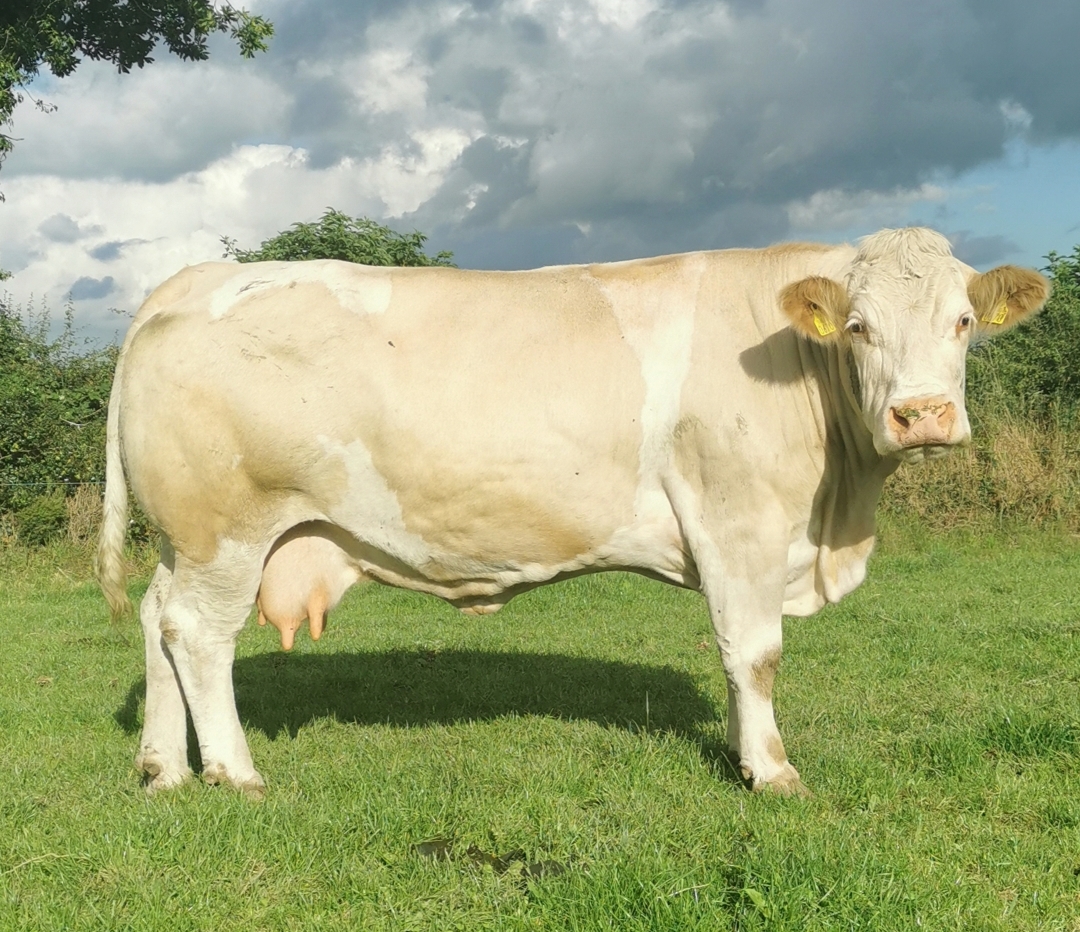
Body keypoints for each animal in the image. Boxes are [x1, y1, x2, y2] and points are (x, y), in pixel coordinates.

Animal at [97, 228, 1048, 797]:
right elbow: (755, 655)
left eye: (964, 323)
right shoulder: (740, 519)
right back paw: (233, 772)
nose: (922, 415)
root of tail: (199, 279)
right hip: (226, 529)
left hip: (188, 540)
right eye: (857, 327)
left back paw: (162, 767)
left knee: (154, 620)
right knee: (198, 636)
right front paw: (771, 772)